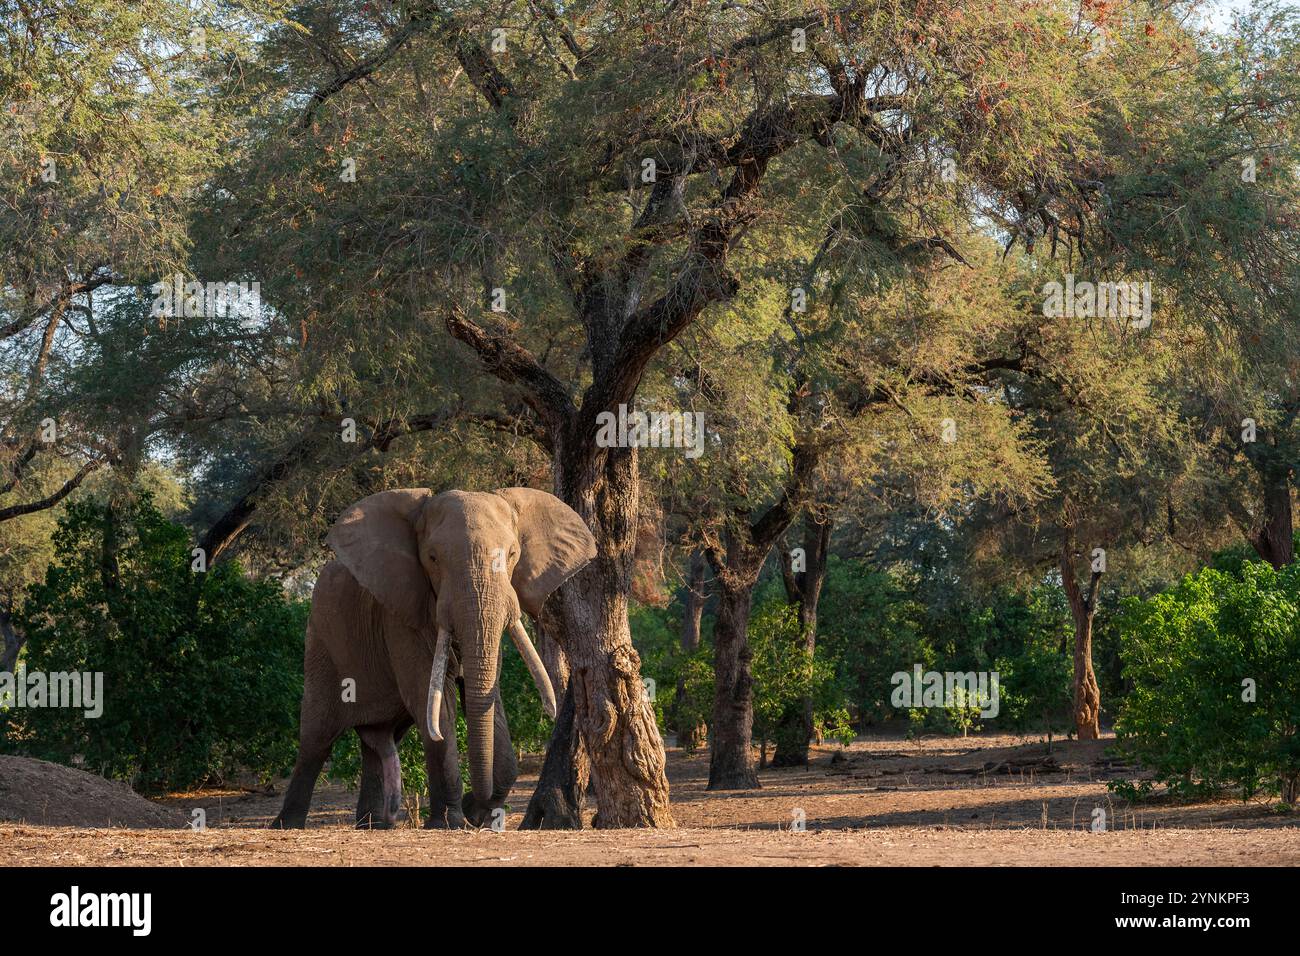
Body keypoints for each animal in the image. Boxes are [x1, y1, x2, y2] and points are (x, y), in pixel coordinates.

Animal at [270, 487, 596, 830]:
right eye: (432, 558)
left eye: (512, 555)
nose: (474, 804)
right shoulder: (401, 614)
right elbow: (436, 702)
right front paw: (451, 822)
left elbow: (488, 697)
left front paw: (474, 814)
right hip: (321, 639)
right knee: (317, 736)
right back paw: (287, 824)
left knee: (379, 739)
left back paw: (374, 826)